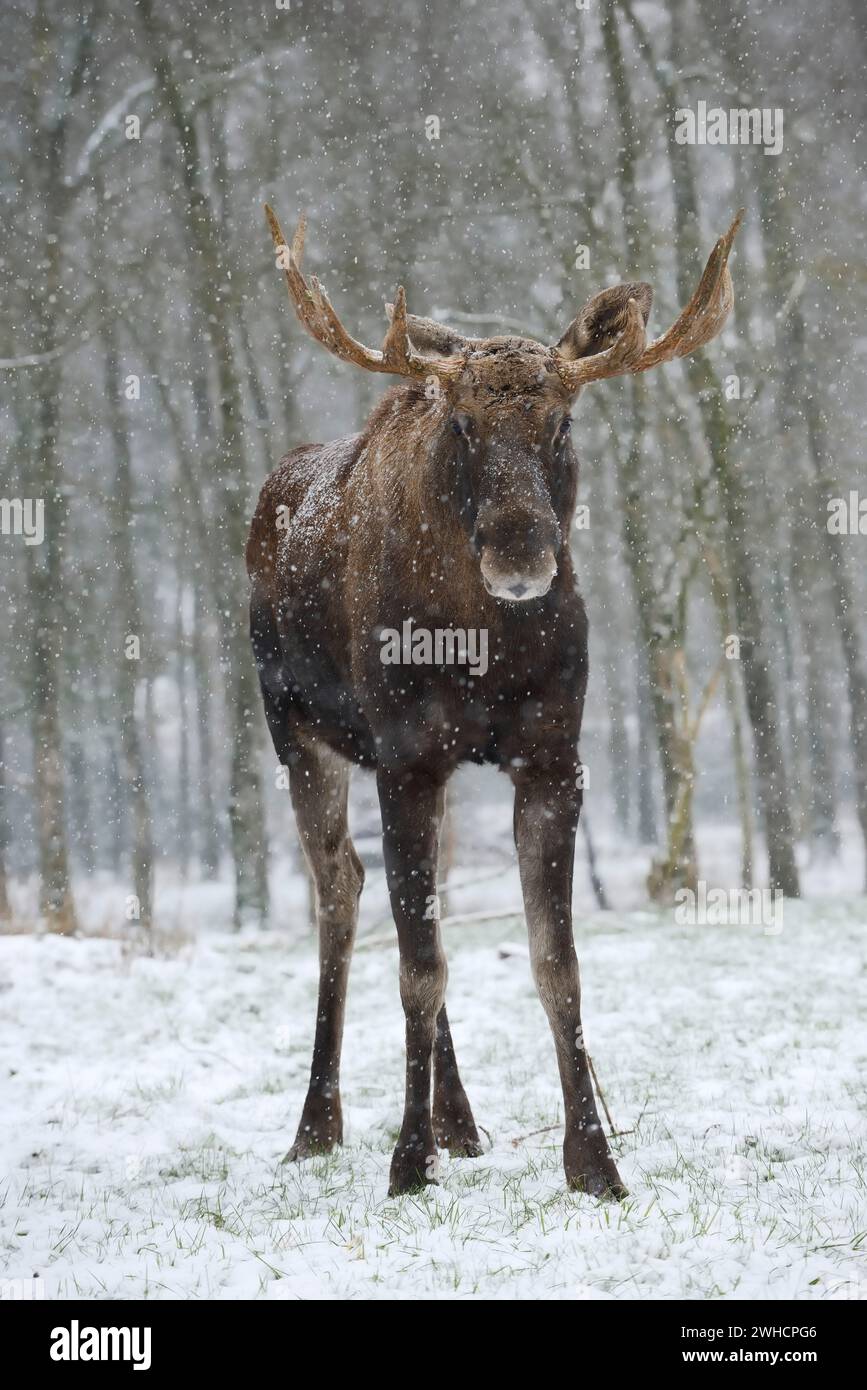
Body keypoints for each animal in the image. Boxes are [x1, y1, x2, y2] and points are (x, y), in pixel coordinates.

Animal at [247, 205, 742, 1198]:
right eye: (464, 425)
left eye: (562, 420)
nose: (521, 553)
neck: (480, 651)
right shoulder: (404, 755)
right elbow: (419, 967)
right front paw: (405, 1163)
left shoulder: (553, 756)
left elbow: (555, 964)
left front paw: (593, 1162)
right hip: (296, 733)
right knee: (341, 892)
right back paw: (319, 1126)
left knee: (411, 900)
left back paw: (461, 1122)